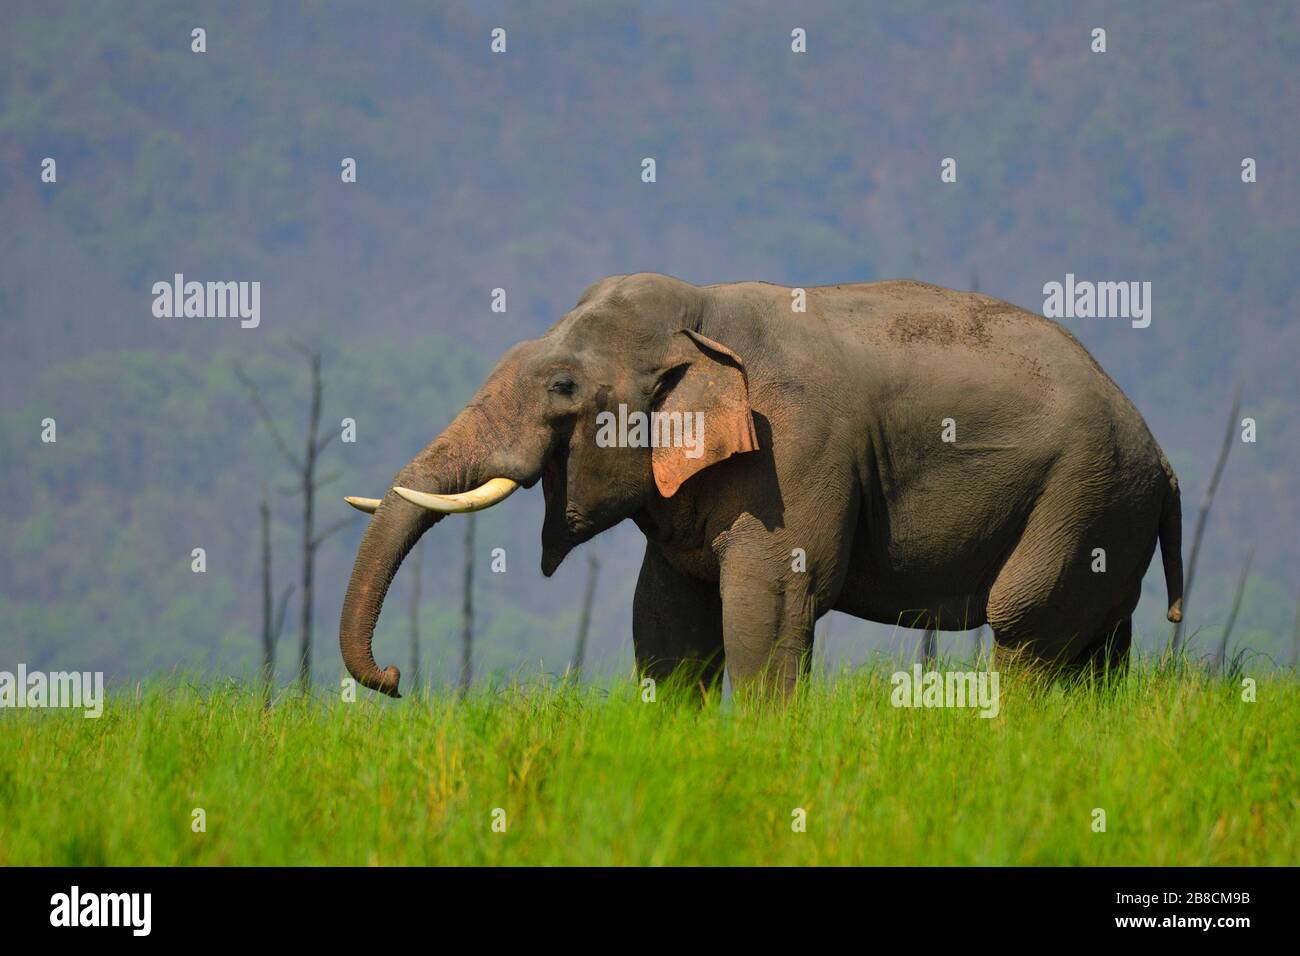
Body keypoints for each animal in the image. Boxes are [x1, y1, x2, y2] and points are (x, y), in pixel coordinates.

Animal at [340, 273, 1183, 698]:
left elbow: (771, 601)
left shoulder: (795, 454)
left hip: (1084, 497)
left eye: (562, 387)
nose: (393, 678)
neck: (702, 314)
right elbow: (667, 616)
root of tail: (1164, 458)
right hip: (1109, 518)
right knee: (1097, 645)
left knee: (1025, 628)